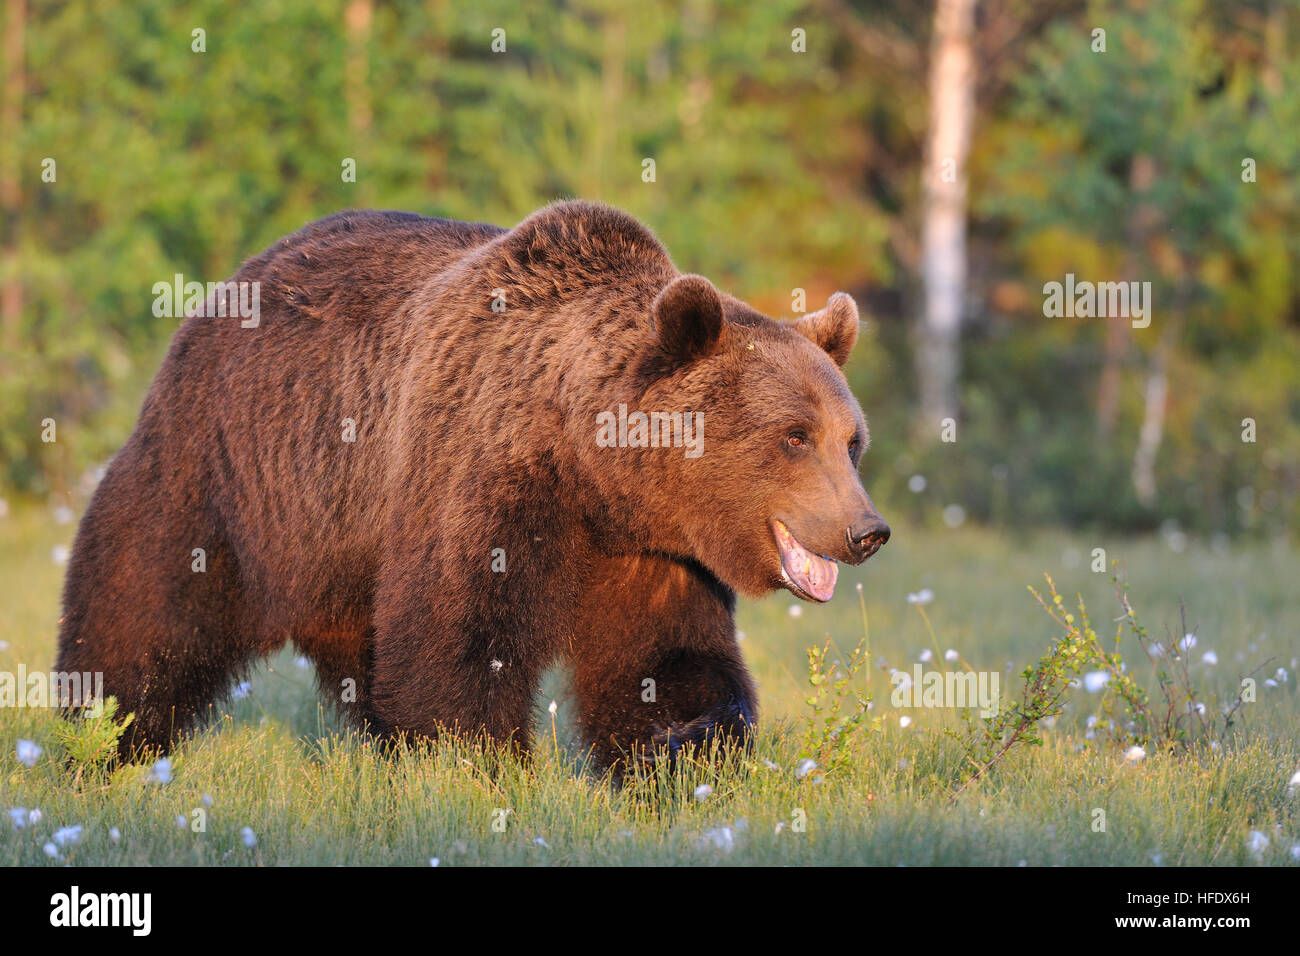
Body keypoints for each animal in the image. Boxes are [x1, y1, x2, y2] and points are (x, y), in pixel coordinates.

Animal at [55, 200, 890, 769]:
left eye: (852, 441)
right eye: (793, 436)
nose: (866, 530)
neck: (591, 471)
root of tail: (225, 288)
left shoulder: (655, 551)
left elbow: (670, 662)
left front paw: (681, 747)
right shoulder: (483, 475)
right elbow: (458, 639)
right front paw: (478, 763)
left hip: (340, 543)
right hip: (226, 472)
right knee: (143, 605)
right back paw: (99, 736)